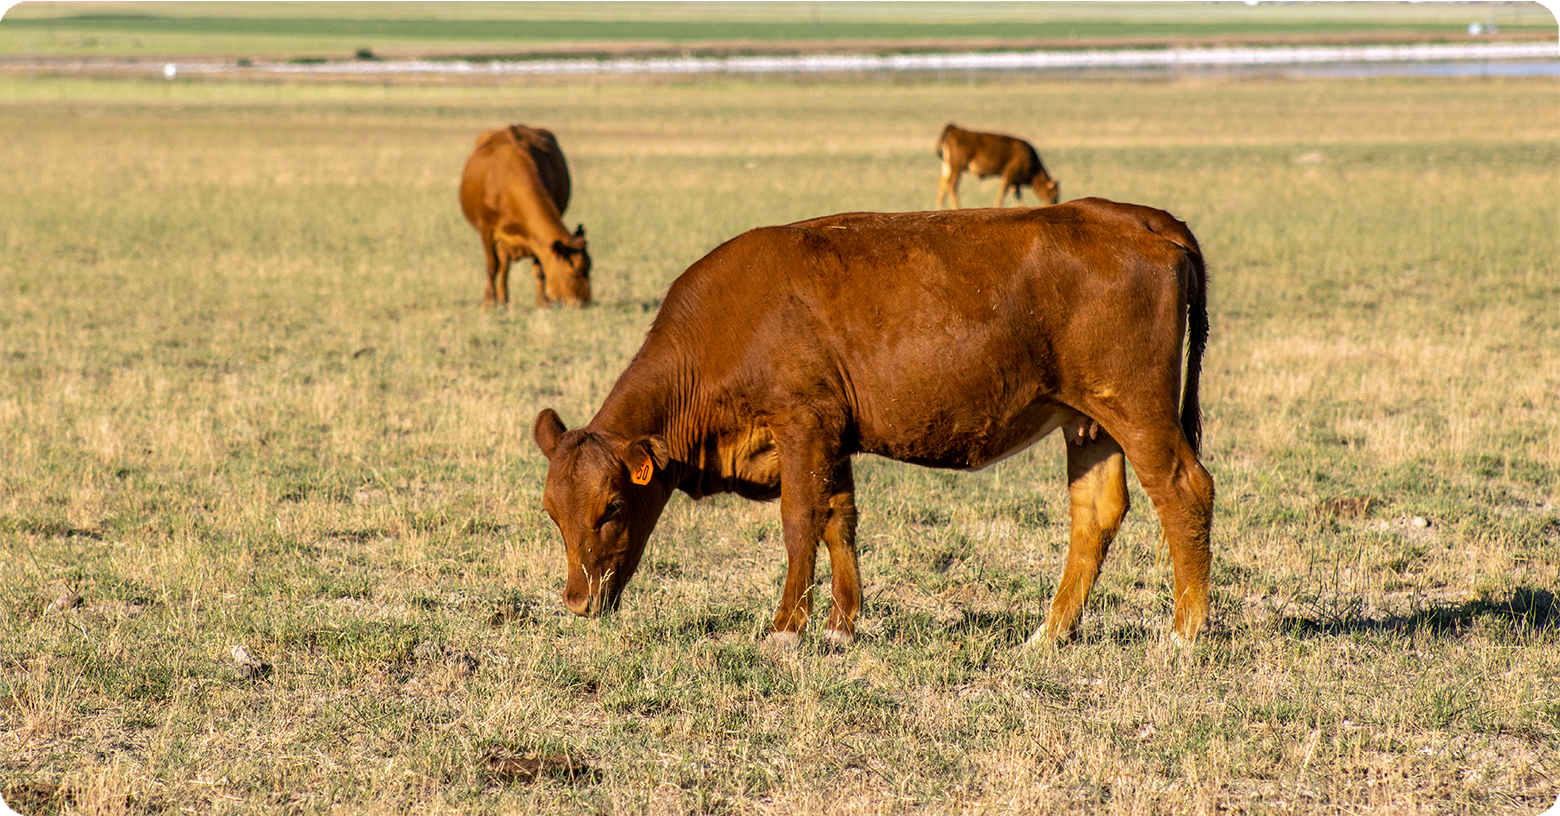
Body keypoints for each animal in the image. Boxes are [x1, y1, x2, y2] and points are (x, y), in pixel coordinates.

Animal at [459, 124, 591, 308]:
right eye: (575, 269)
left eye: (589, 267)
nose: (585, 303)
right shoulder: (486, 228)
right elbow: (492, 265)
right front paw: (489, 301)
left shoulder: (537, 238)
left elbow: (539, 268)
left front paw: (543, 302)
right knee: (502, 266)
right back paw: (501, 300)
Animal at [532, 198, 1213, 648]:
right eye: (552, 513)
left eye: (612, 506)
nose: (576, 601)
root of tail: (1135, 216)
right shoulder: (833, 439)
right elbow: (839, 520)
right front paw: (841, 624)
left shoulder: (804, 424)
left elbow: (800, 520)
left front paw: (786, 627)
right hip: (1088, 422)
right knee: (1096, 512)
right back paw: (1048, 635)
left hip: (1139, 409)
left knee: (1185, 491)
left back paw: (1184, 633)